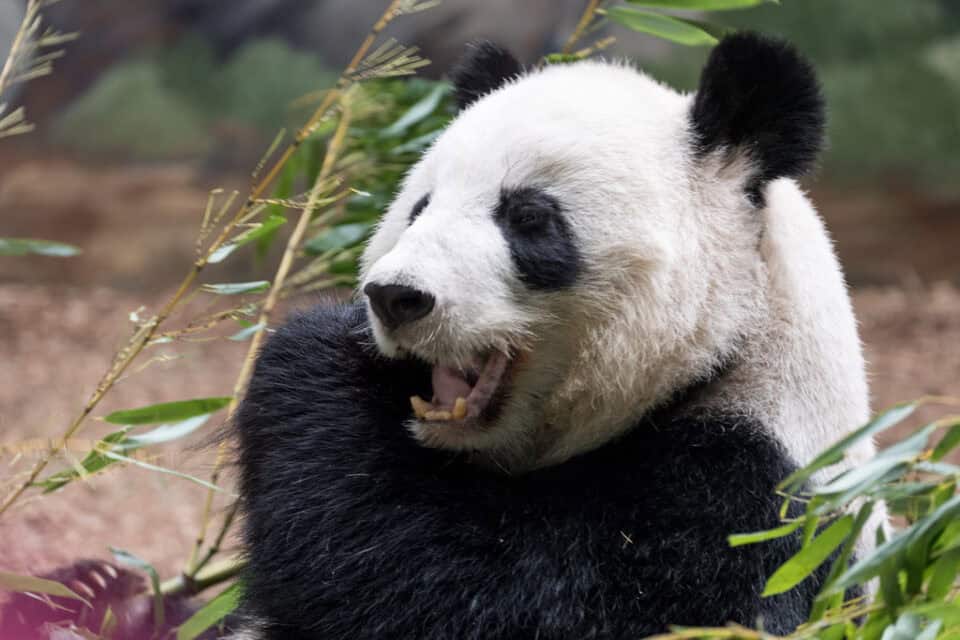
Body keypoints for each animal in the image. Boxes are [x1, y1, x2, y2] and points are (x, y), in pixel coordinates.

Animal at [232, 33, 885, 639]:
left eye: (527, 217)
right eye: (419, 208)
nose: (396, 296)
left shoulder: (755, 506)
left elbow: (483, 589)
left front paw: (312, 353)